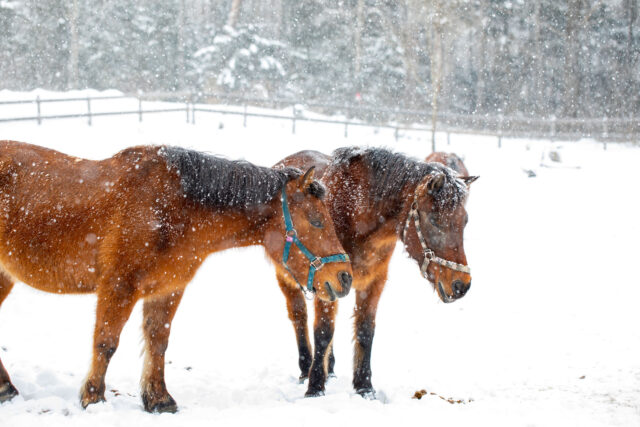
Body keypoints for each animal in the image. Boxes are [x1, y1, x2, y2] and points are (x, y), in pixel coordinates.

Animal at [0, 140, 352, 412]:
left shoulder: (167, 289)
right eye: (316, 220)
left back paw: (6, 389)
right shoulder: (118, 286)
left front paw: (158, 400)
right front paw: (93, 398)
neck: (170, 208)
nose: (345, 277)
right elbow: (106, 342)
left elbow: (158, 341)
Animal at [273, 147, 478, 398]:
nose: (462, 284)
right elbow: (323, 331)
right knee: (299, 316)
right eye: (434, 219)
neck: (355, 210)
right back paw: (306, 369)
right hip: (286, 278)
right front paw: (315, 388)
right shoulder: (325, 278)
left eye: (465, 221)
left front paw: (364, 387)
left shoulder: (373, 282)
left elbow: (365, 330)